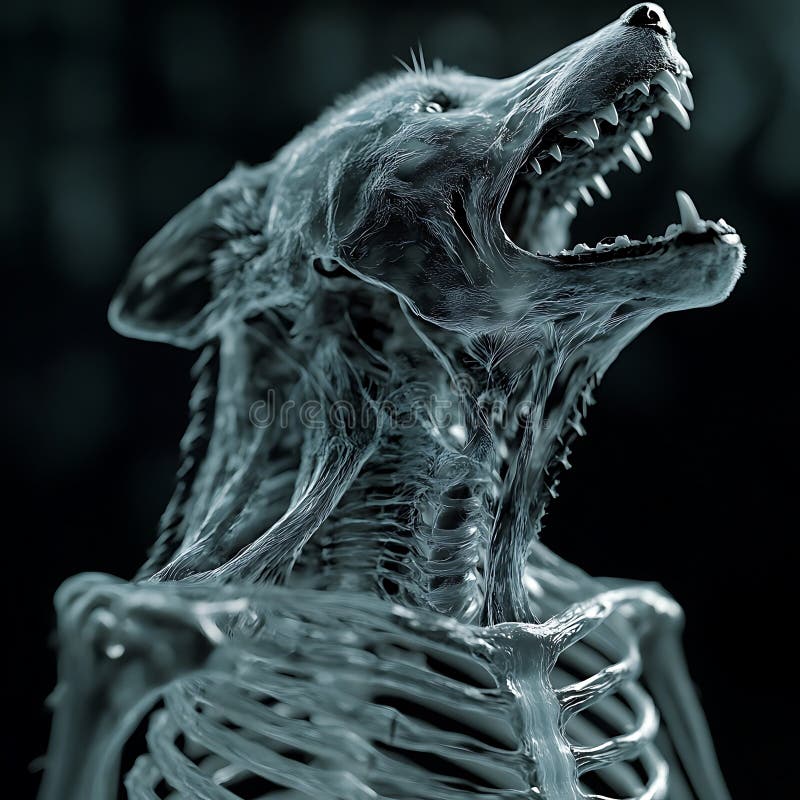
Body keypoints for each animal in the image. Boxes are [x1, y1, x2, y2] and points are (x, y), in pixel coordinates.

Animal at [39, 4, 743, 799]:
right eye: (433, 106)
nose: (649, 15)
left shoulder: (639, 612)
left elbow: (650, 614)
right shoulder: (138, 615)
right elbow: (116, 625)